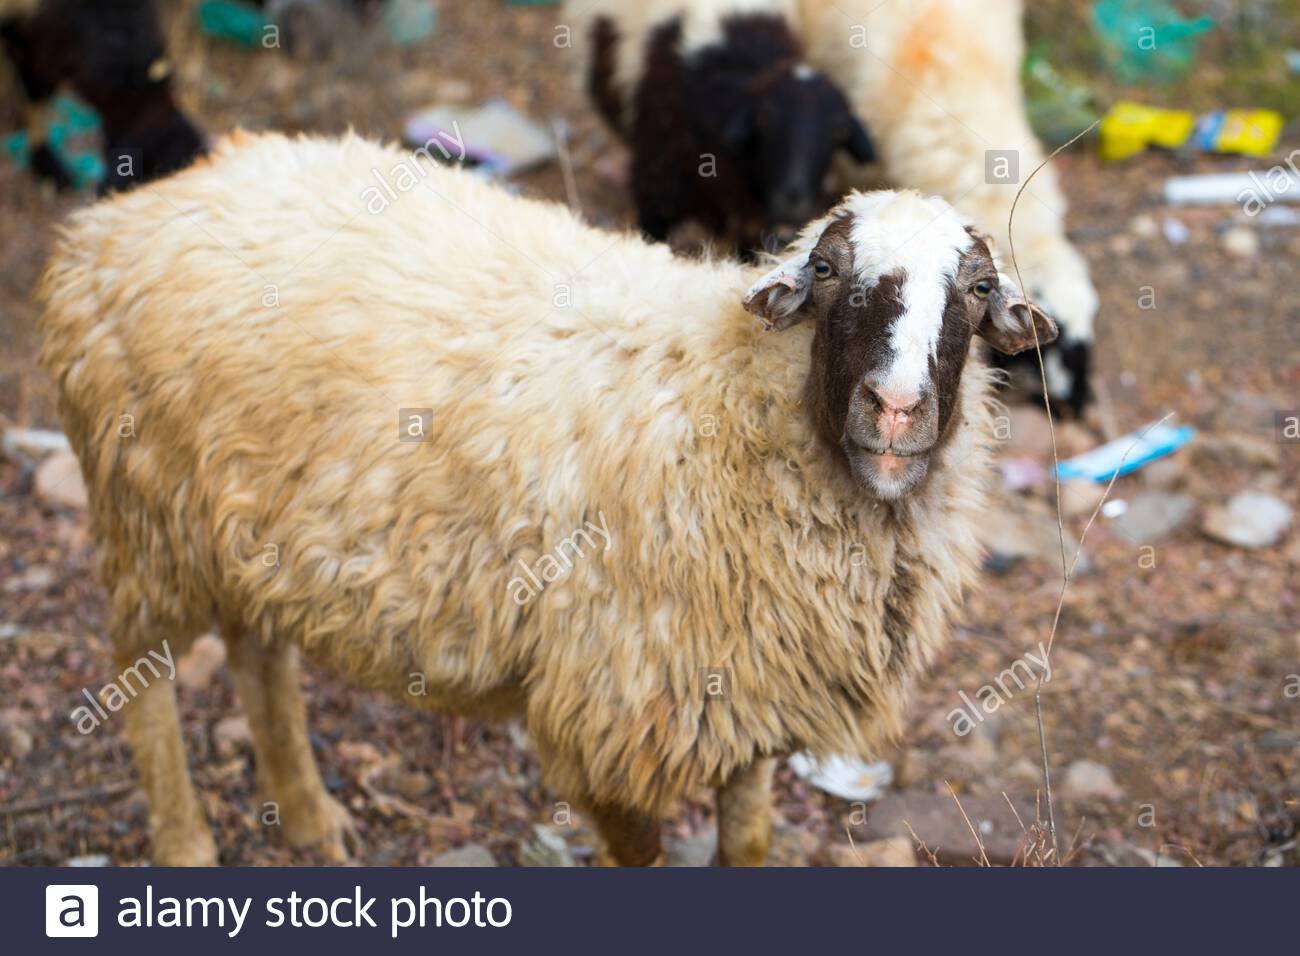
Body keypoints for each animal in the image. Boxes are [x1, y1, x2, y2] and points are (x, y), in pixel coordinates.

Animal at [39, 130, 1058, 866]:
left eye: (976, 288)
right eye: (827, 273)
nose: (895, 408)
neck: (726, 395)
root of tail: (115, 220)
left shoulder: (751, 693)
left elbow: (750, 842)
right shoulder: (609, 714)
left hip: (239, 521)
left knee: (257, 653)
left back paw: (308, 816)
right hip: (147, 509)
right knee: (143, 671)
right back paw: (186, 845)